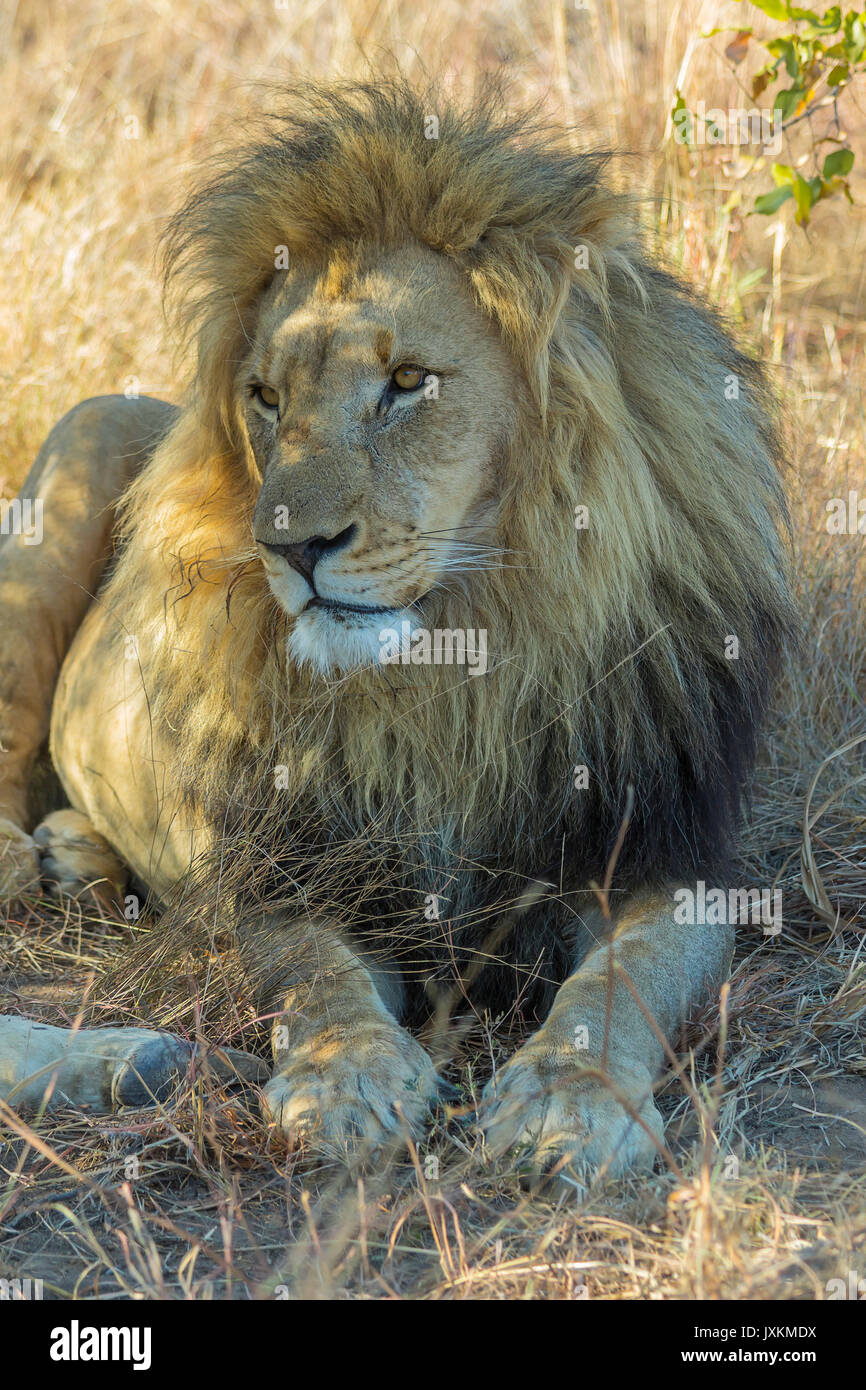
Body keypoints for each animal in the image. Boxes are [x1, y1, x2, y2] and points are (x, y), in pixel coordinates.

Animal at [0, 78, 795, 1182]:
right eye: (265, 398)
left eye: (409, 383)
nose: (290, 545)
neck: (456, 671)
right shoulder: (284, 865)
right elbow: (315, 976)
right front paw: (349, 1081)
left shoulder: (659, 852)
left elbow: (620, 979)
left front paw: (568, 1100)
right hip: (81, 441)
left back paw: (79, 858)